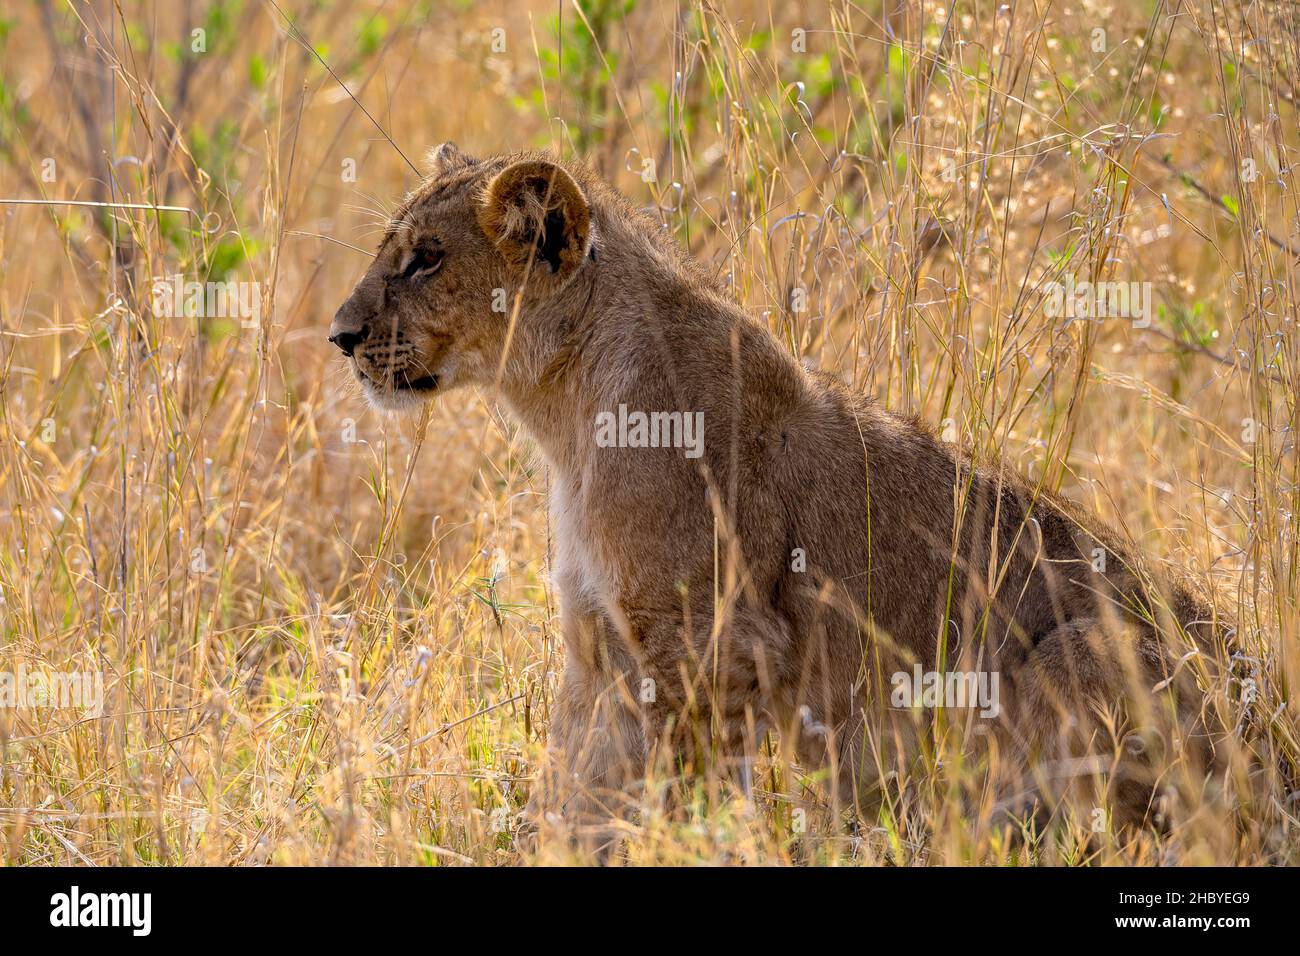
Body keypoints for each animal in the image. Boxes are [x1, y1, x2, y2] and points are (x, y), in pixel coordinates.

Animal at [330, 143, 1232, 846]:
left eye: (426, 258)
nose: (339, 337)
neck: (565, 414)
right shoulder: (602, 644)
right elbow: (570, 790)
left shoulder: (712, 640)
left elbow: (676, 796)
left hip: (1084, 647)